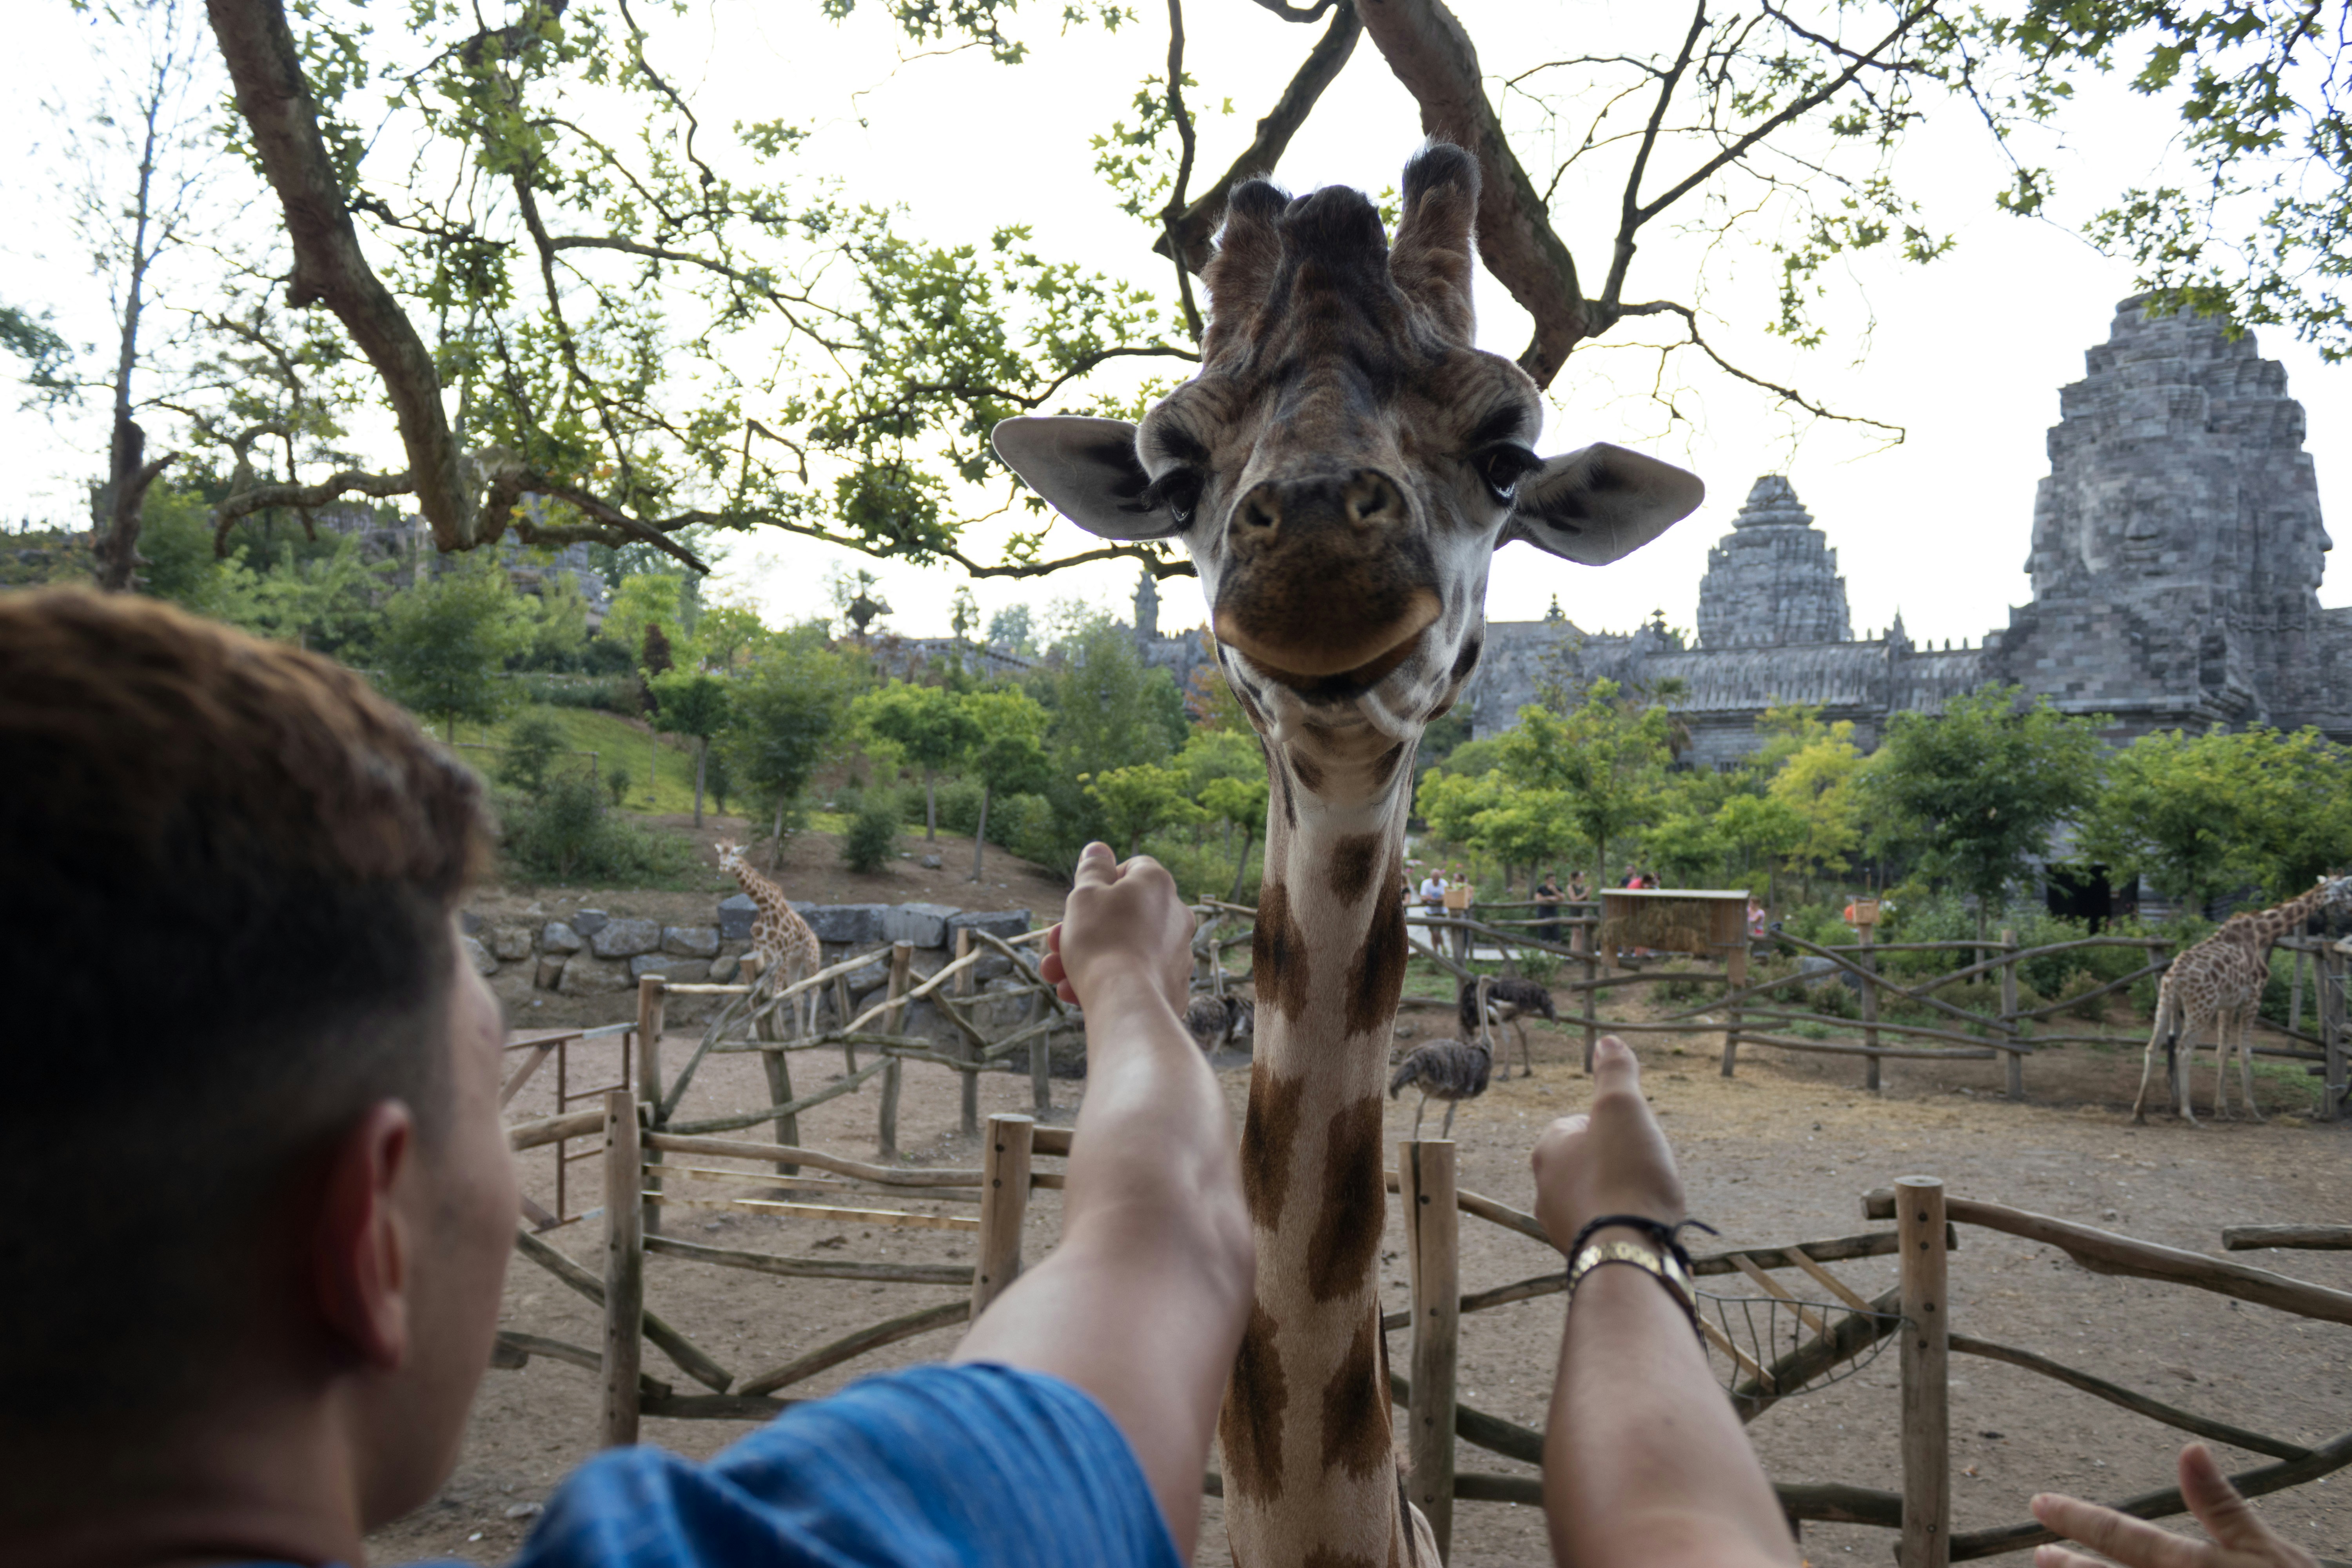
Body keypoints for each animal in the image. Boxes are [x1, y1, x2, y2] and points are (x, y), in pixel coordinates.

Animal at [2133, 875, 2352, 1126]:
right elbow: (2246, 1052)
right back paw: (2188, 1114)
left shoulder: (2227, 1004)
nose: (2350, 911)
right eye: (2349, 888)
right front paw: (2252, 1111)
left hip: (2166, 1001)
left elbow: (2224, 1050)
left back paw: (2139, 1111)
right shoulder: (2253, 997)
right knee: (2184, 1049)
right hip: (2201, 1007)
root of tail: (2175, 977)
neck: (2261, 934)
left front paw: (2222, 1110)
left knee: (2153, 1046)